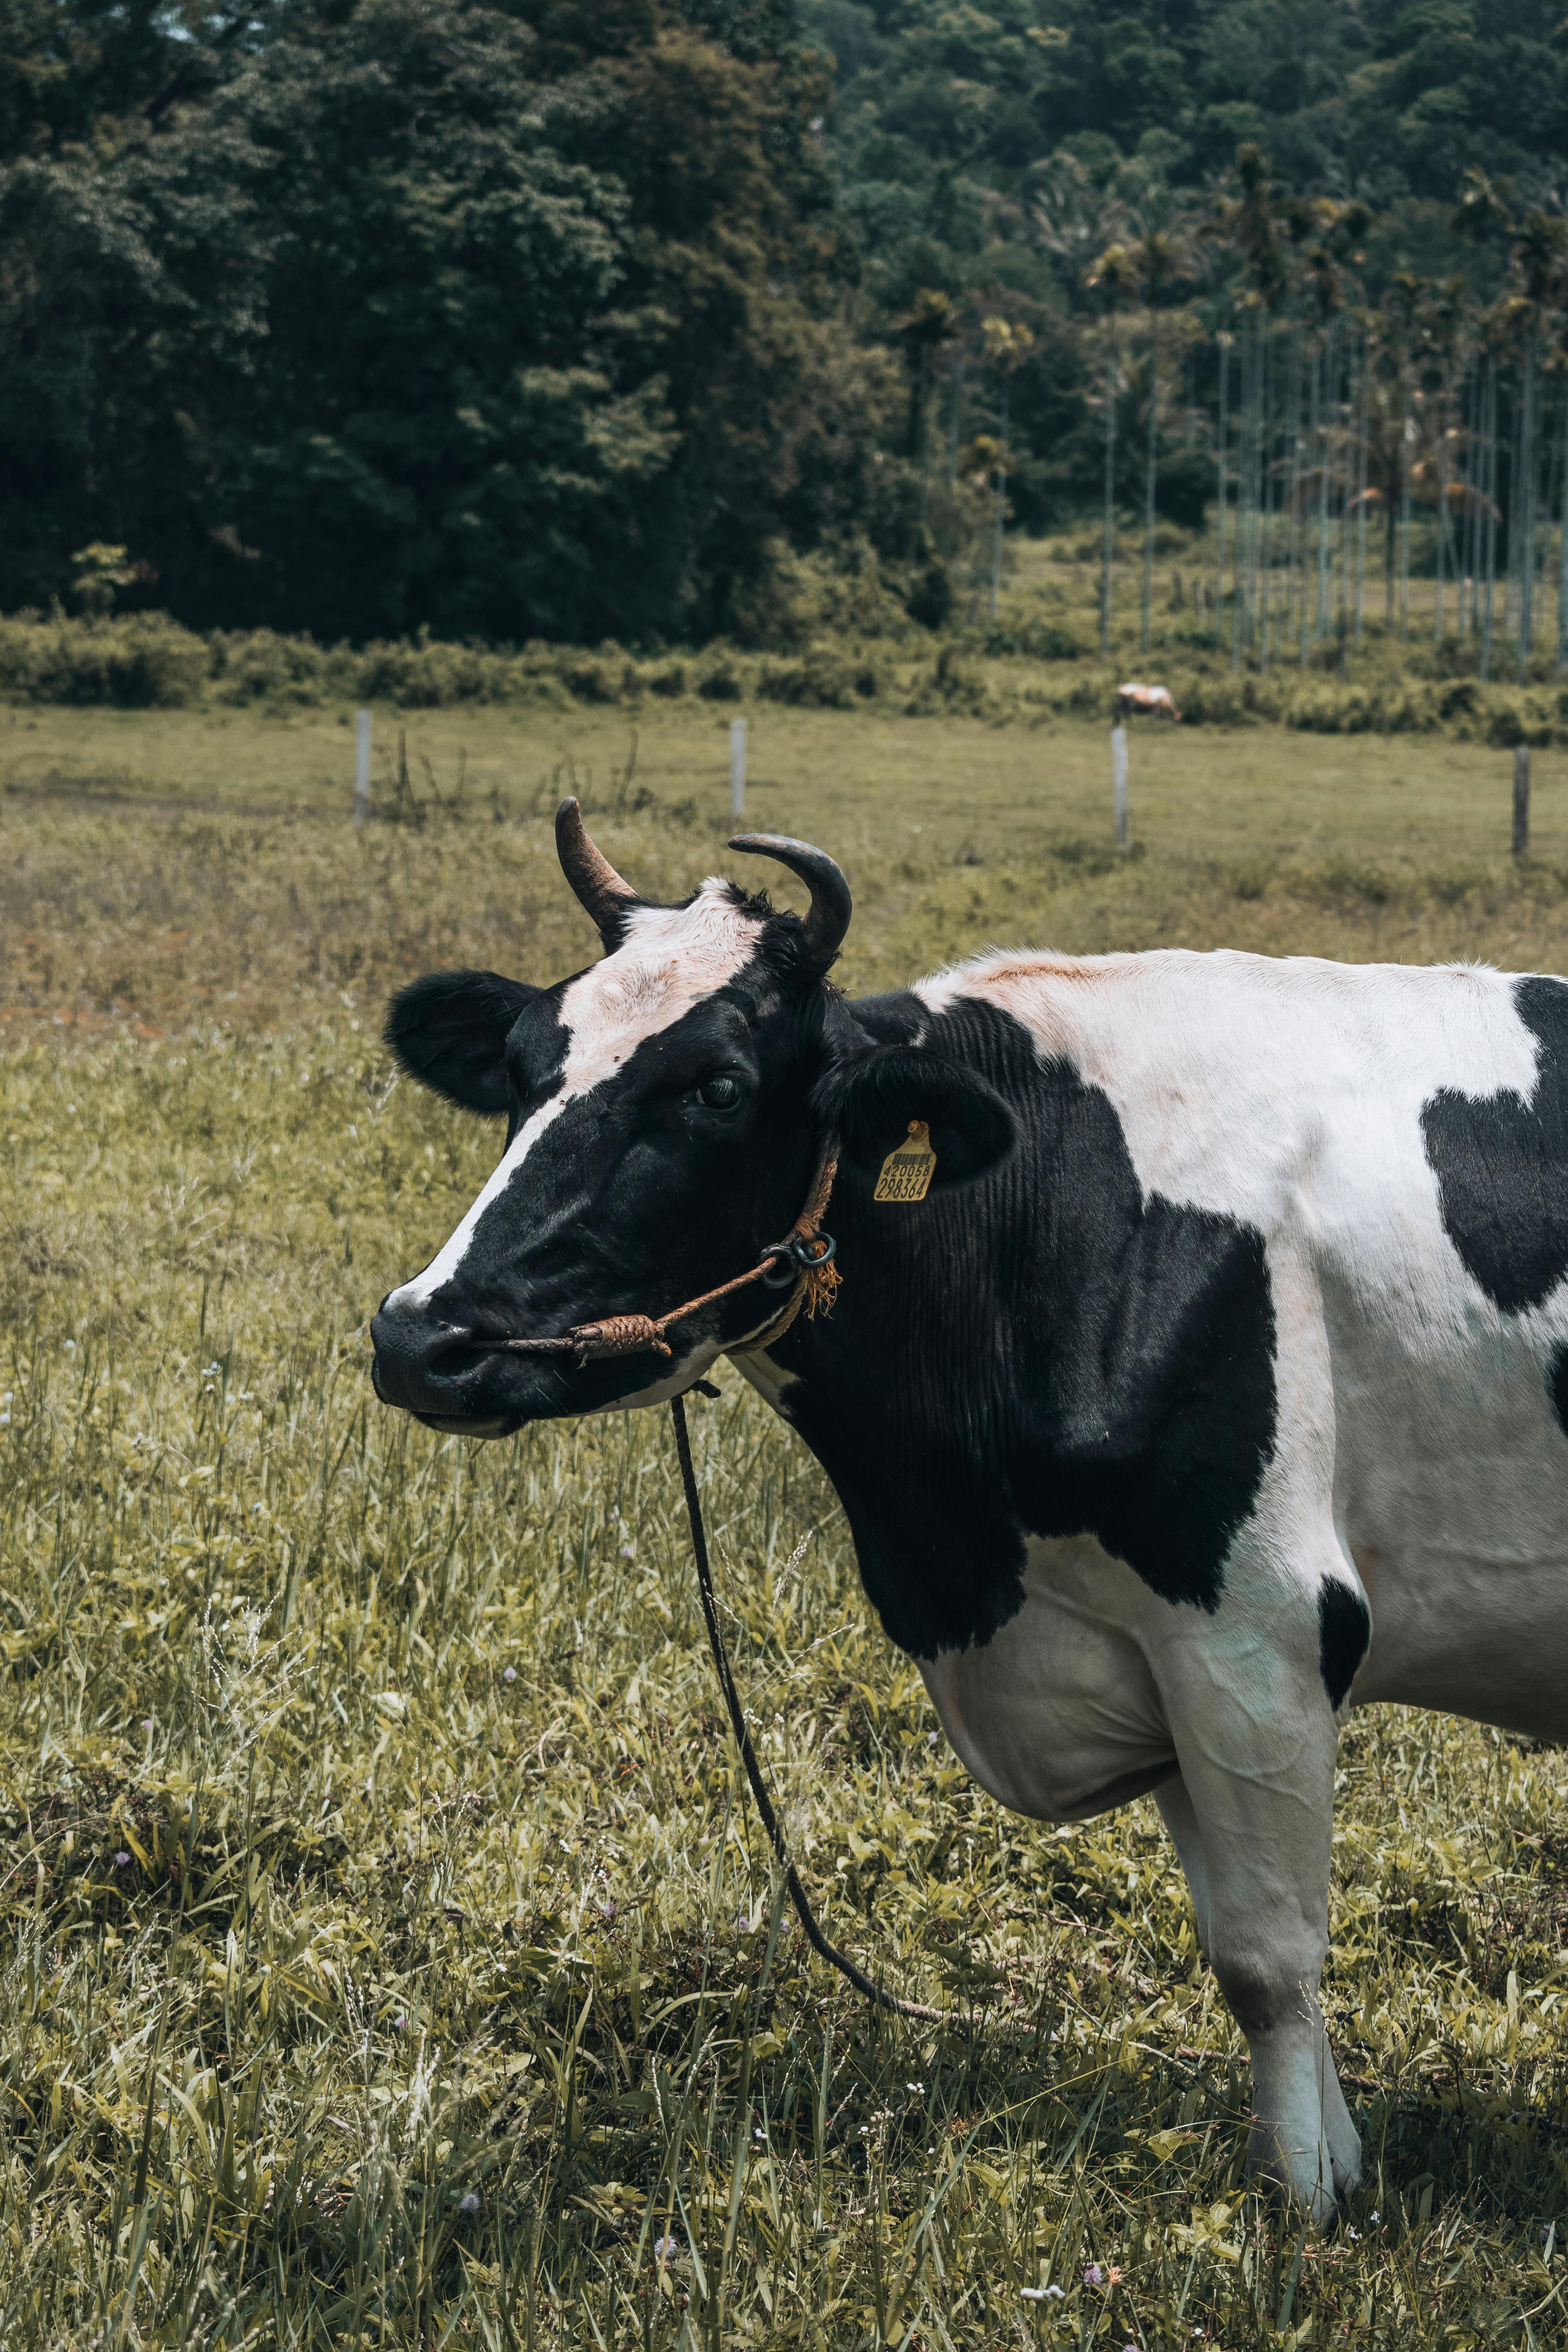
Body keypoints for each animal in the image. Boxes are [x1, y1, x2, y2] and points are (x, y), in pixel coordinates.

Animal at [370, 800, 1568, 2222]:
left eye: (718, 1088)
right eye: (520, 1065)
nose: (420, 1340)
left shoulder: (1259, 1628)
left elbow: (1271, 1961)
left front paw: (1307, 2210)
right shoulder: (1148, 1649)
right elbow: (1234, 1943)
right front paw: (1335, 2160)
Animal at [1114, 683, 1181, 723]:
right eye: (1177, 717)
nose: (1176, 723)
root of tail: (1122, 687)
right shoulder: (1157, 706)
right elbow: (1156, 714)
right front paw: (1155, 722)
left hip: (1123, 703)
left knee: (1120, 711)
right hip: (1130, 703)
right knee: (1127, 712)